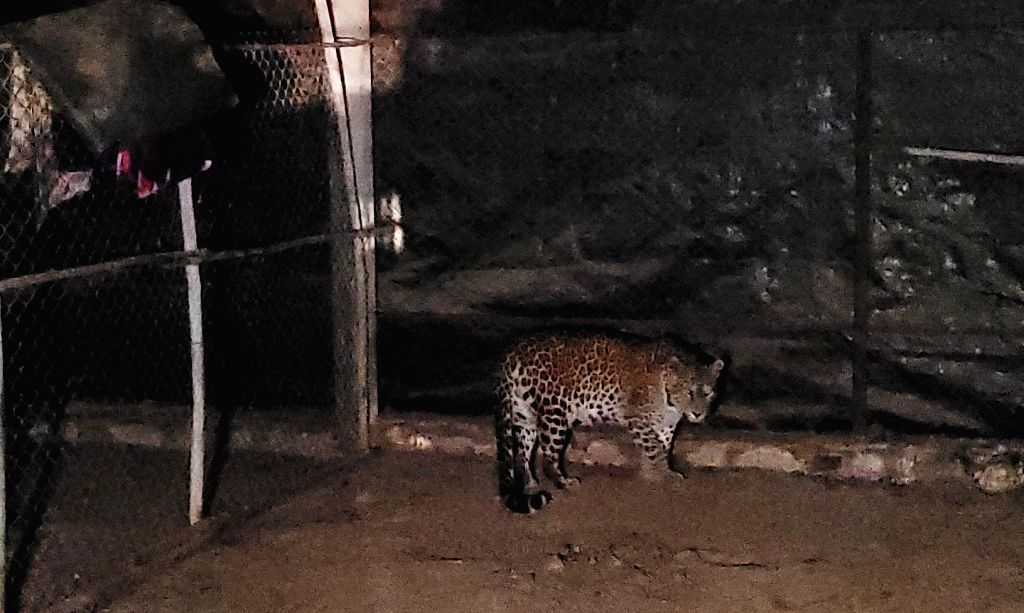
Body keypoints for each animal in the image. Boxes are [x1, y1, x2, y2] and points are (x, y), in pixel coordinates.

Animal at [495, 329, 725, 513]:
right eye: (689, 393)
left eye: (709, 393)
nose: (697, 414)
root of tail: (512, 351)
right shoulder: (639, 419)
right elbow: (656, 448)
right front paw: (665, 474)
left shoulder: (666, 425)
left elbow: (663, 446)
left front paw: (652, 473)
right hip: (555, 413)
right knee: (548, 457)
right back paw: (565, 483)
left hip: (524, 416)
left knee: (522, 454)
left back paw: (530, 484)